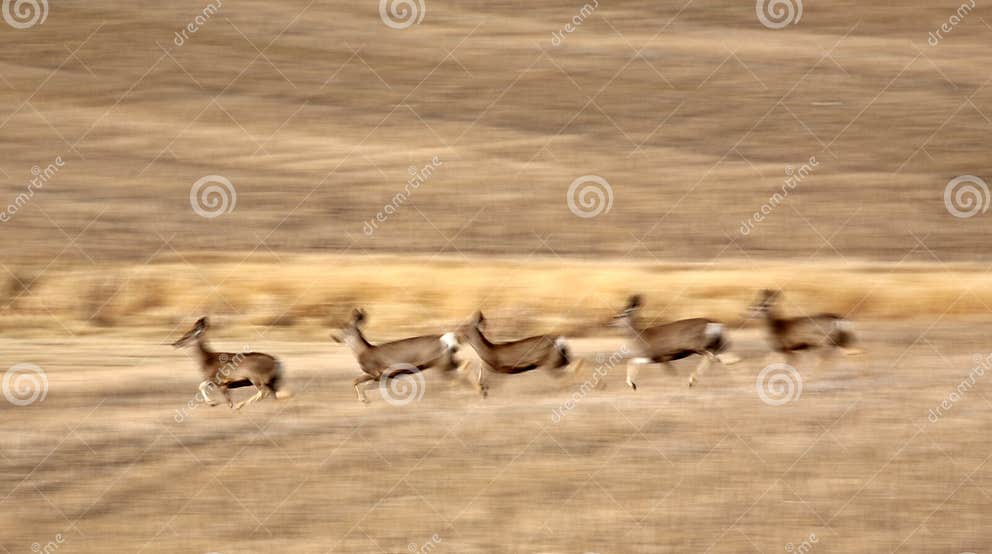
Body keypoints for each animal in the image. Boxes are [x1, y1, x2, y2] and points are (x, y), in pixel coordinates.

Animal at [331, 308, 482, 403]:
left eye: (343, 328)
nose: (333, 337)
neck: (362, 351)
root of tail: (446, 338)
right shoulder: (385, 376)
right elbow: (359, 381)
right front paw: (364, 399)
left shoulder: (377, 372)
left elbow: (358, 382)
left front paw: (364, 400)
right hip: (447, 359)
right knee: (466, 363)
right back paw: (478, 389)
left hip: (441, 363)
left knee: (463, 367)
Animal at [456, 311, 585, 393]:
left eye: (463, 327)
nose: (457, 335)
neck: (488, 350)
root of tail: (560, 340)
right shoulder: (488, 368)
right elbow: (479, 377)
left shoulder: (498, 368)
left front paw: (481, 392)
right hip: (560, 358)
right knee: (576, 363)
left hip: (549, 361)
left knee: (568, 371)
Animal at [611, 295, 740, 389]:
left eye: (620, 315)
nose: (610, 323)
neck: (640, 336)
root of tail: (714, 323)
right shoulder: (658, 359)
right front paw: (633, 385)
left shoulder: (656, 356)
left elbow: (631, 361)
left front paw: (632, 385)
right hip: (718, 345)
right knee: (728, 358)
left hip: (698, 346)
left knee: (714, 358)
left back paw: (692, 380)